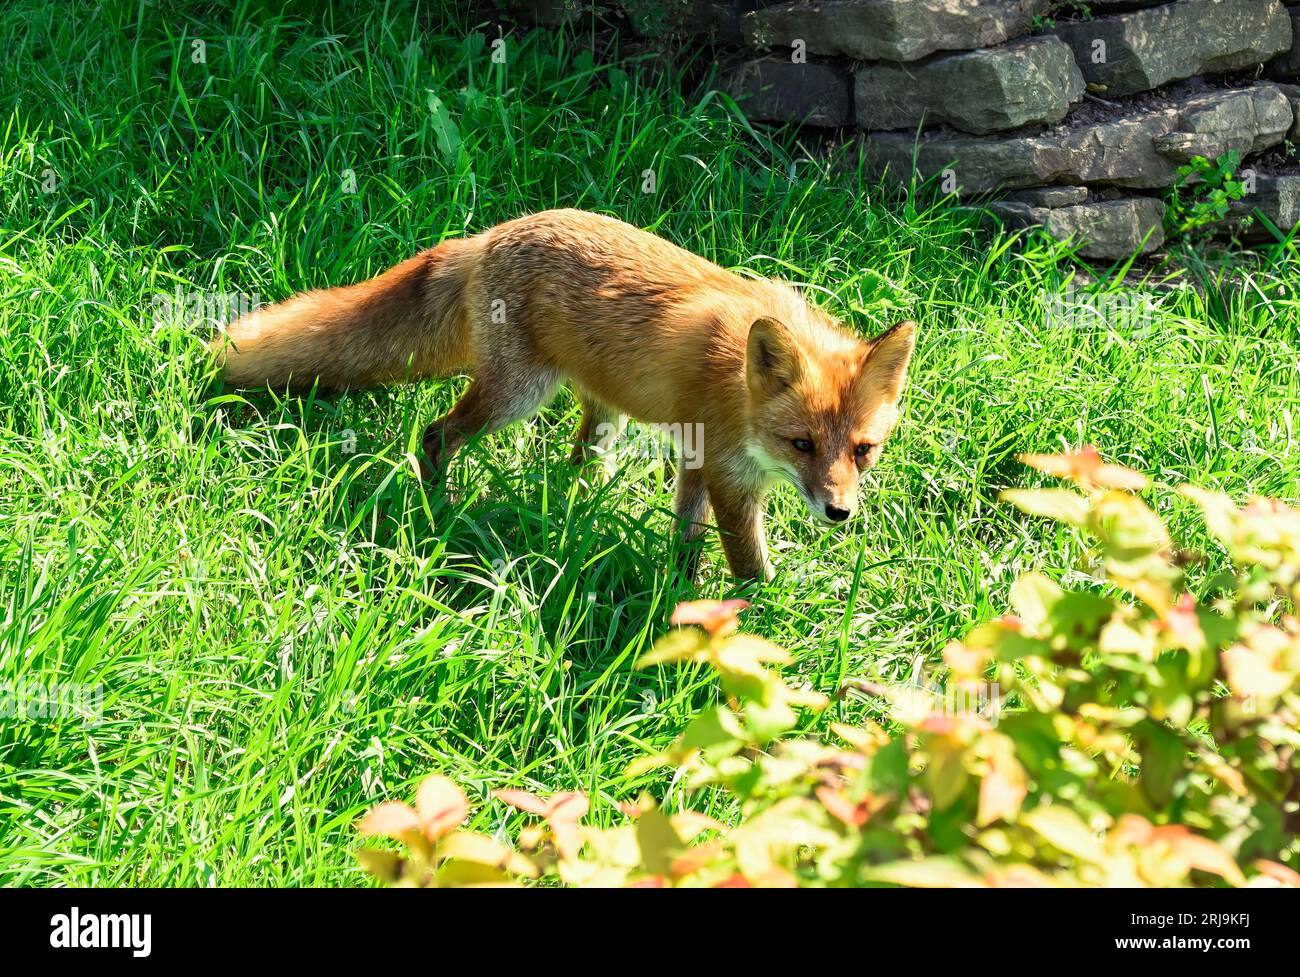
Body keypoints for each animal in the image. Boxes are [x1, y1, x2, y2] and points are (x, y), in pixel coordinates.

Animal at [213, 209, 917, 582]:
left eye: (862, 450)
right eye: (801, 444)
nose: (839, 513)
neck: (738, 388)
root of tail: (489, 234)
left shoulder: (699, 455)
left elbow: (686, 532)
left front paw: (682, 588)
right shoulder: (728, 471)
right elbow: (747, 560)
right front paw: (762, 620)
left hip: (598, 410)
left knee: (579, 457)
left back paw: (579, 506)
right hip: (516, 394)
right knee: (436, 434)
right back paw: (443, 505)